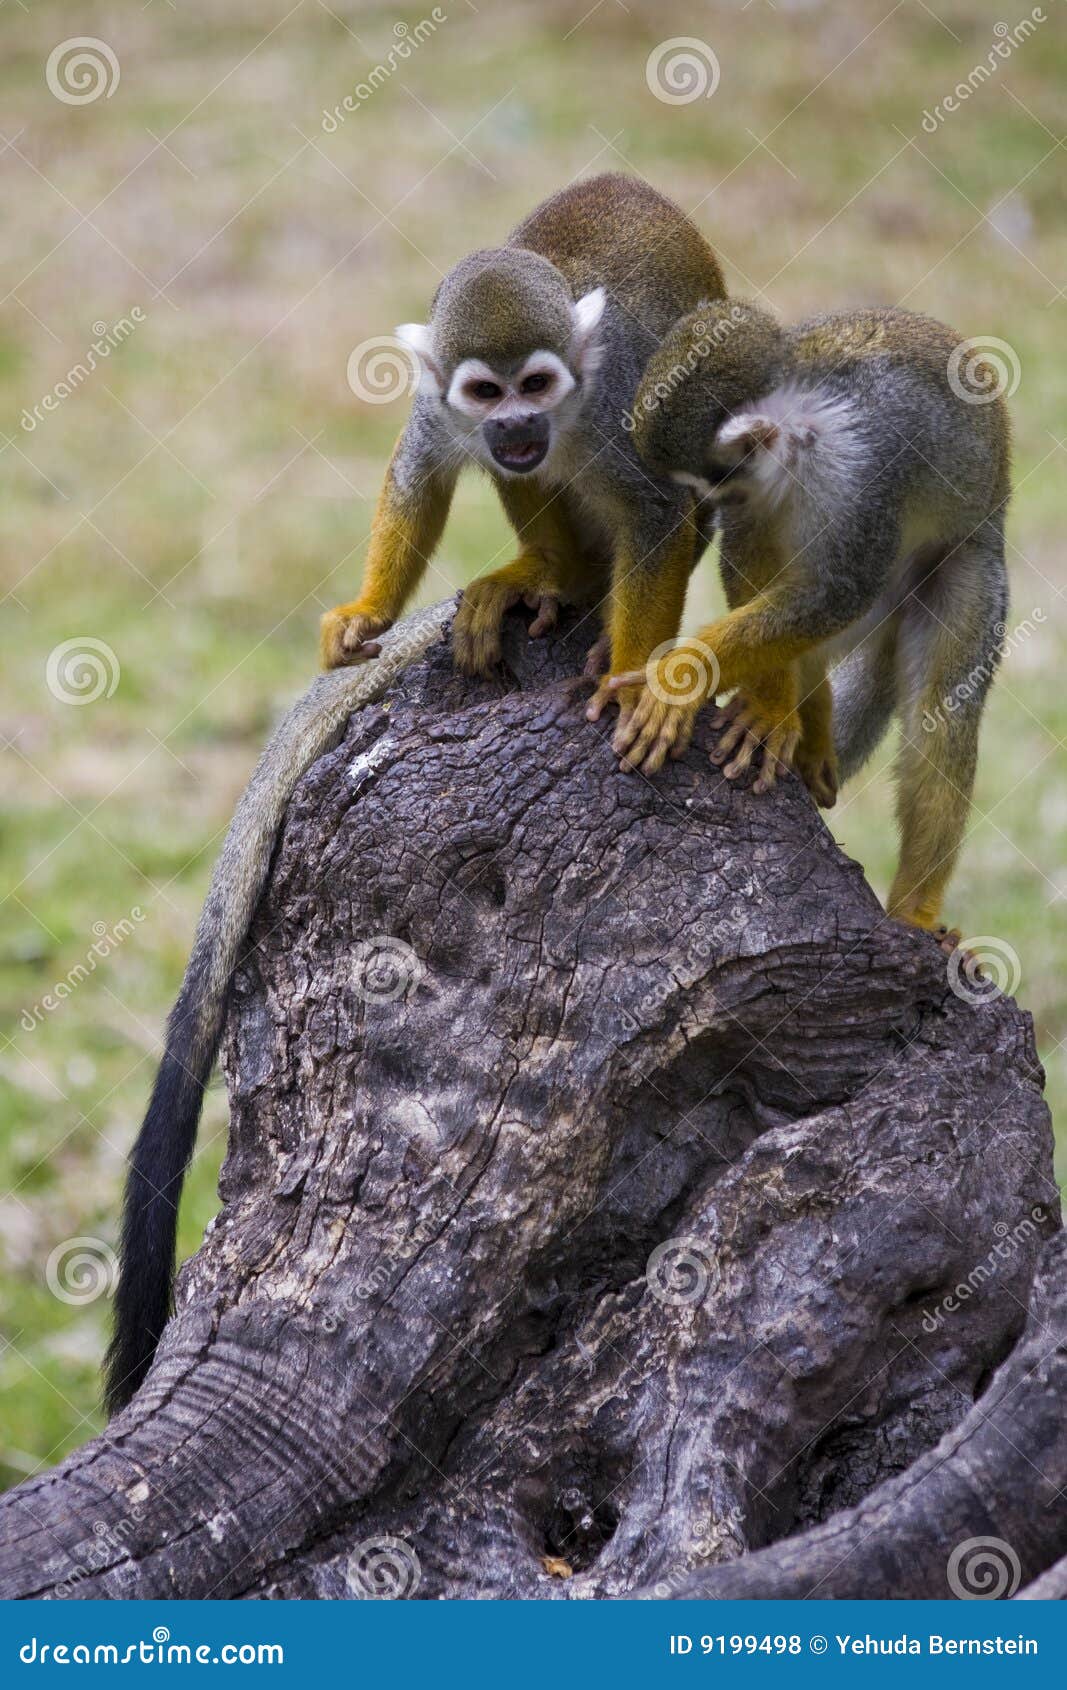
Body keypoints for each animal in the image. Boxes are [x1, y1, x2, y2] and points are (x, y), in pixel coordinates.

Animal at [318, 173, 727, 710]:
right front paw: (369, 610)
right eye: (486, 392)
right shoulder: (437, 405)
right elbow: (418, 475)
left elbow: (656, 510)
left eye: (535, 384)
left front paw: (629, 679)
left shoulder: (619, 398)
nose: (515, 423)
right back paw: (549, 570)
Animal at [611, 299, 1011, 937]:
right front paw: (774, 708)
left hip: (968, 561)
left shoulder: (865, 470)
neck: (803, 427)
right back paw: (813, 707)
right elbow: (749, 559)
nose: (712, 508)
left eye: (715, 482)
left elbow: (837, 594)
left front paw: (681, 676)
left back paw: (915, 912)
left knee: (942, 710)